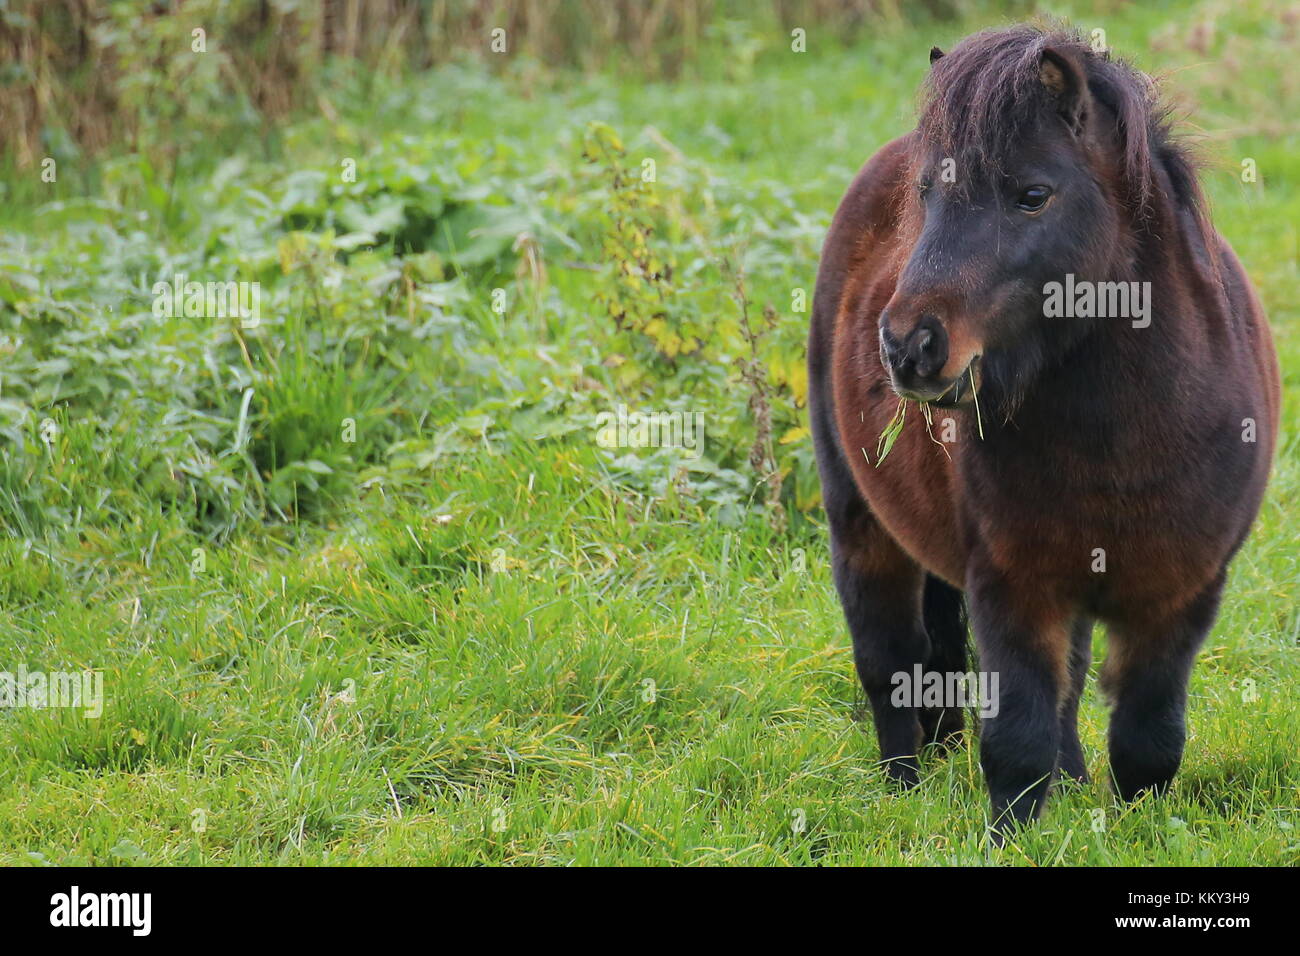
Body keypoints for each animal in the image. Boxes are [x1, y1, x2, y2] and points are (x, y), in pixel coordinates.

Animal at [807, 25, 1280, 833]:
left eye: (1033, 195)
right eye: (927, 194)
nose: (906, 347)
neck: (1129, 435)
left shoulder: (1181, 592)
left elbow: (1148, 739)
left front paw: (1130, 828)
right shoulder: (1011, 585)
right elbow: (1016, 740)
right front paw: (1016, 837)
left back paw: (1068, 781)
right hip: (861, 525)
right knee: (890, 660)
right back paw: (902, 789)